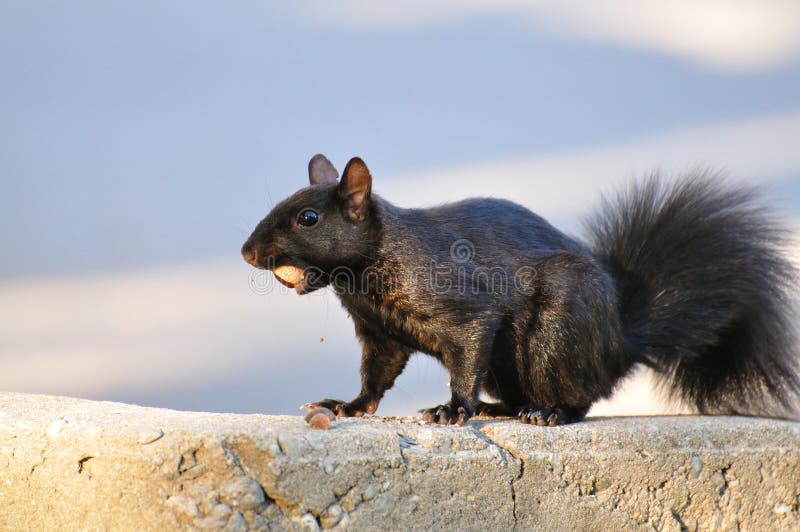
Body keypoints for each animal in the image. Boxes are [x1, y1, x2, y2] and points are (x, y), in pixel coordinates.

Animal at [241, 154, 800, 426]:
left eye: (308, 218)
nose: (247, 252)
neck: (368, 270)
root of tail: (620, 342)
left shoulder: (463, 305)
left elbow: (467, 345)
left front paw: (452, 409)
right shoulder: (380, 332)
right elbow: (376, 376)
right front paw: (349, 406)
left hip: (557, 332)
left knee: (580, 397)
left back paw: (548, 412)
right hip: (508, 366)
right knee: (515, 397)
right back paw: (500, 408)